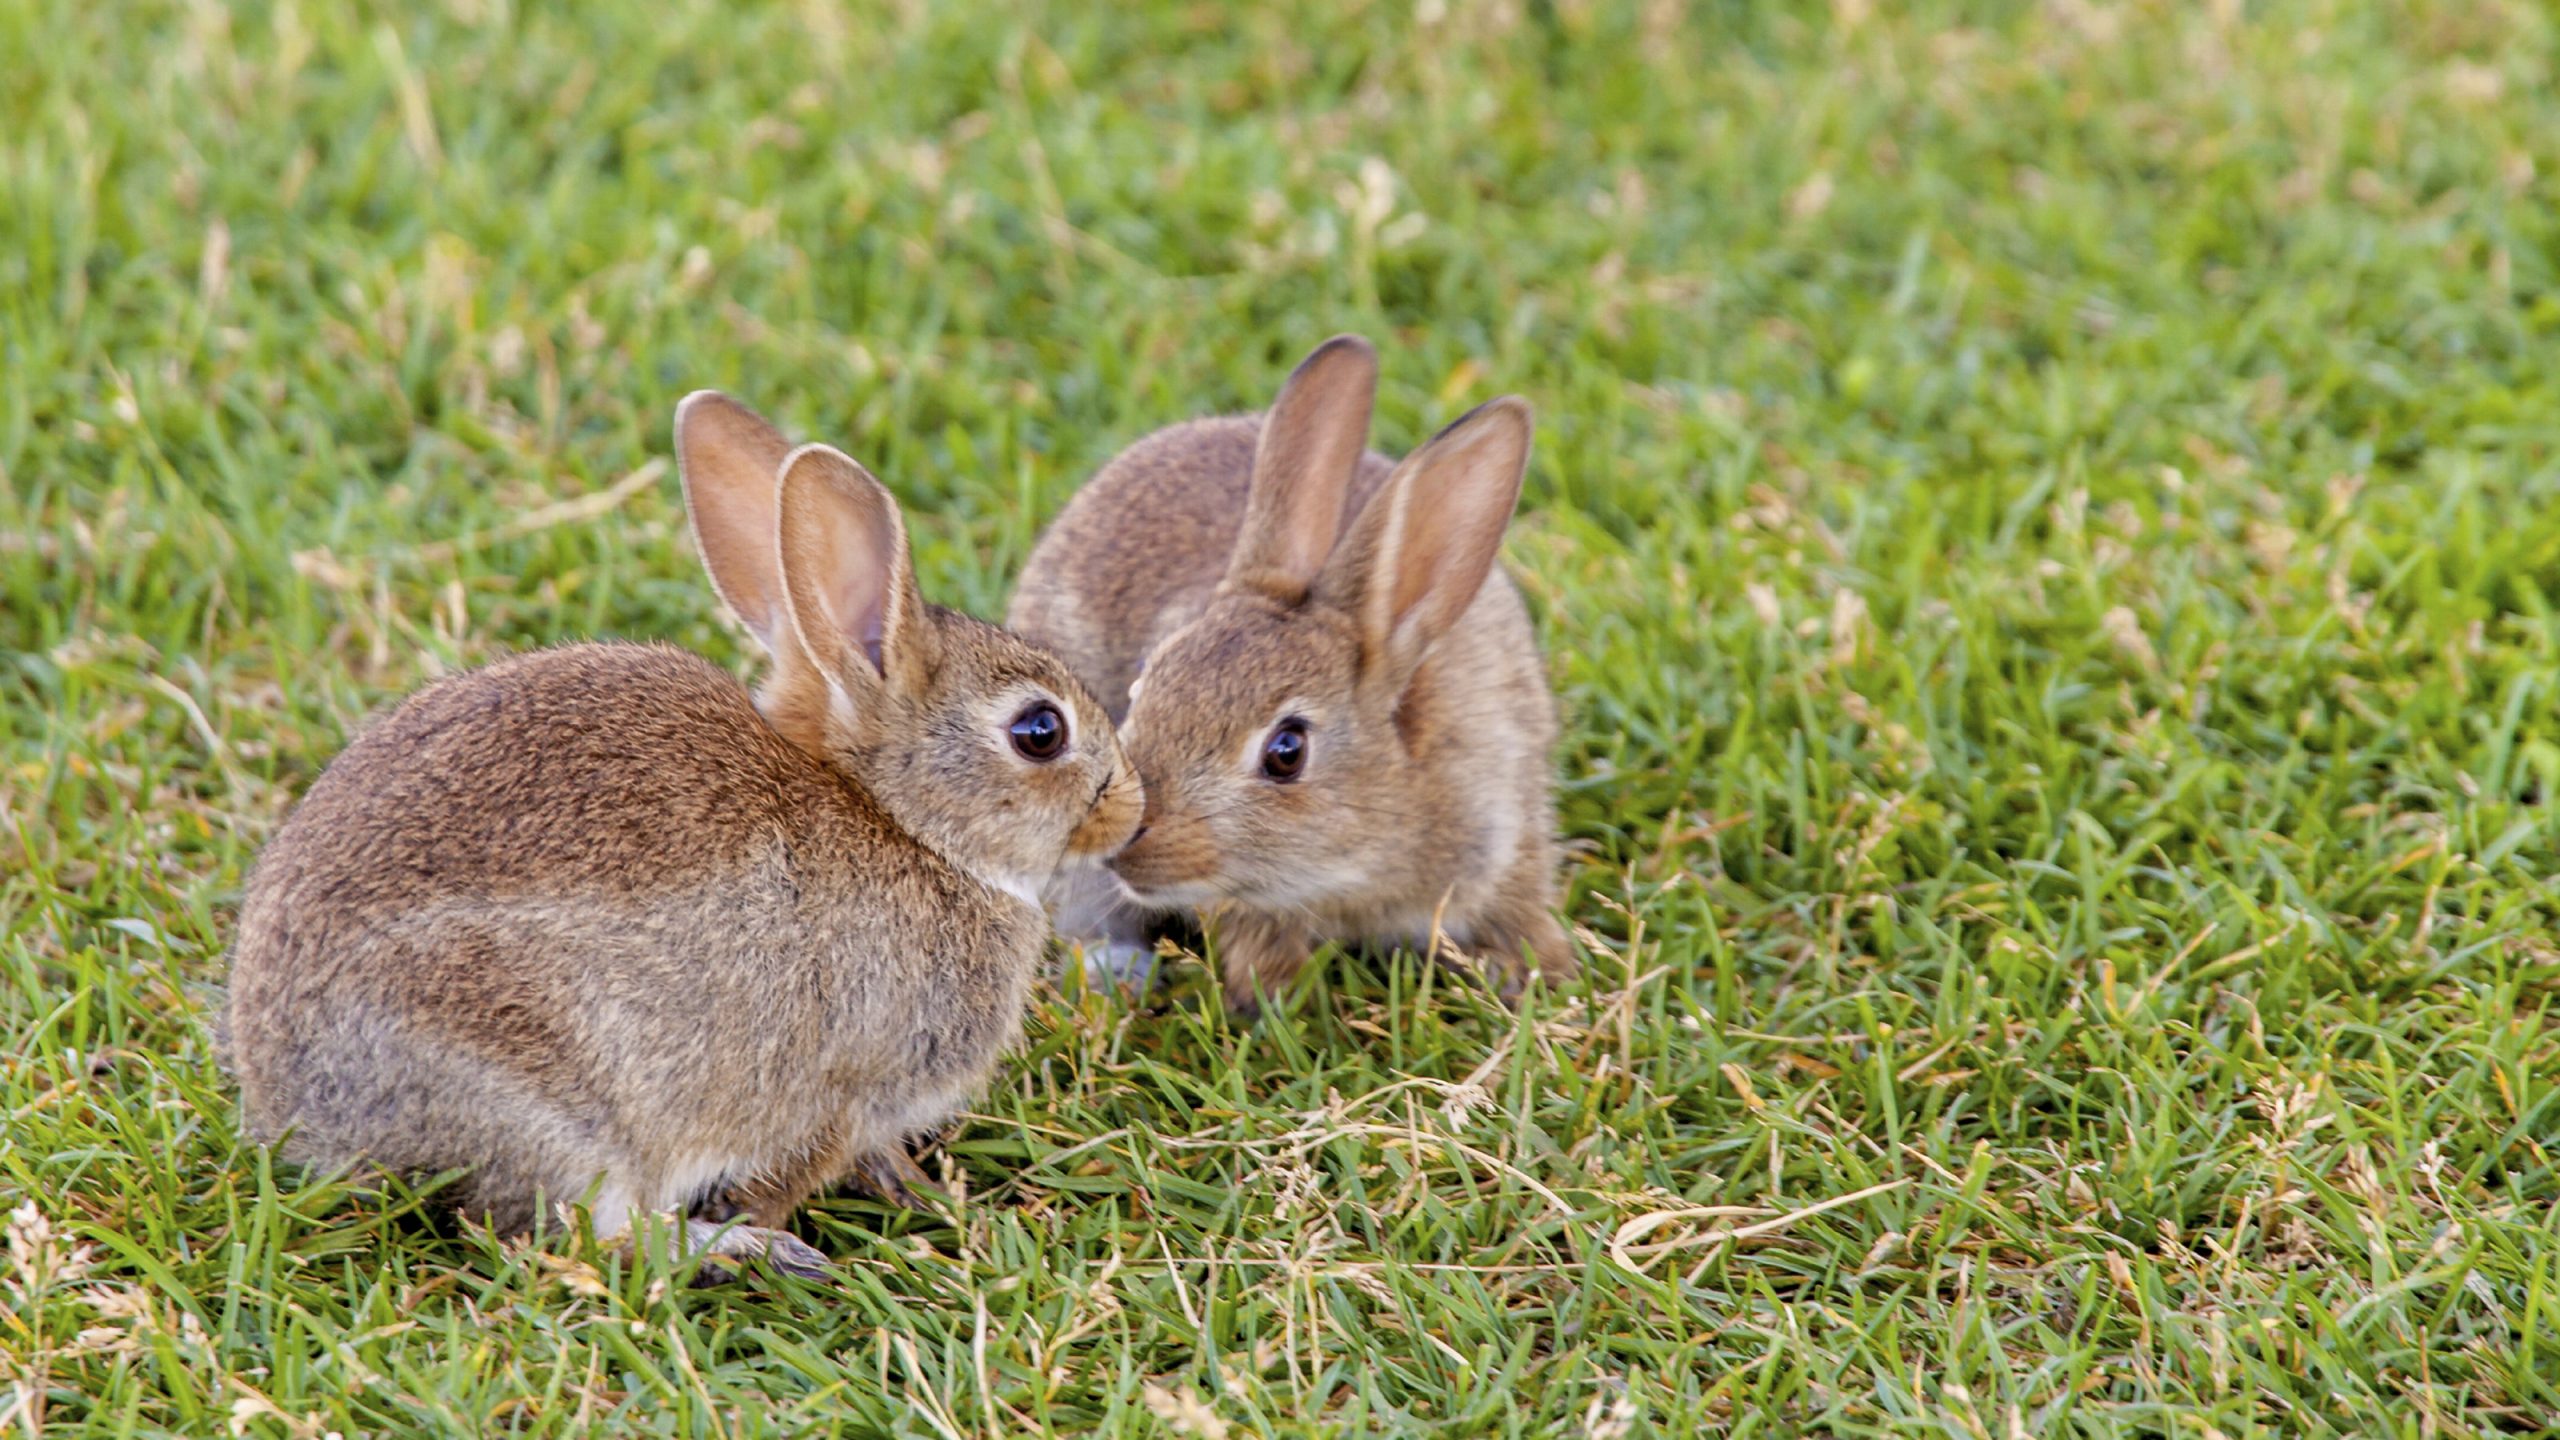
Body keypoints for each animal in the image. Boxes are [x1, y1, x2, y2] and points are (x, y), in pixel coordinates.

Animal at [223, 392, 1144, 1277]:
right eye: (1039, 732)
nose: (1131, 807)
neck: (902, 820)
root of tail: (304, 1107)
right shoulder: (844, 1091)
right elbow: (796, 1167)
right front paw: (798, 1215)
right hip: (552, 1105)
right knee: (572, 1241)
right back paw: (745, 1253)